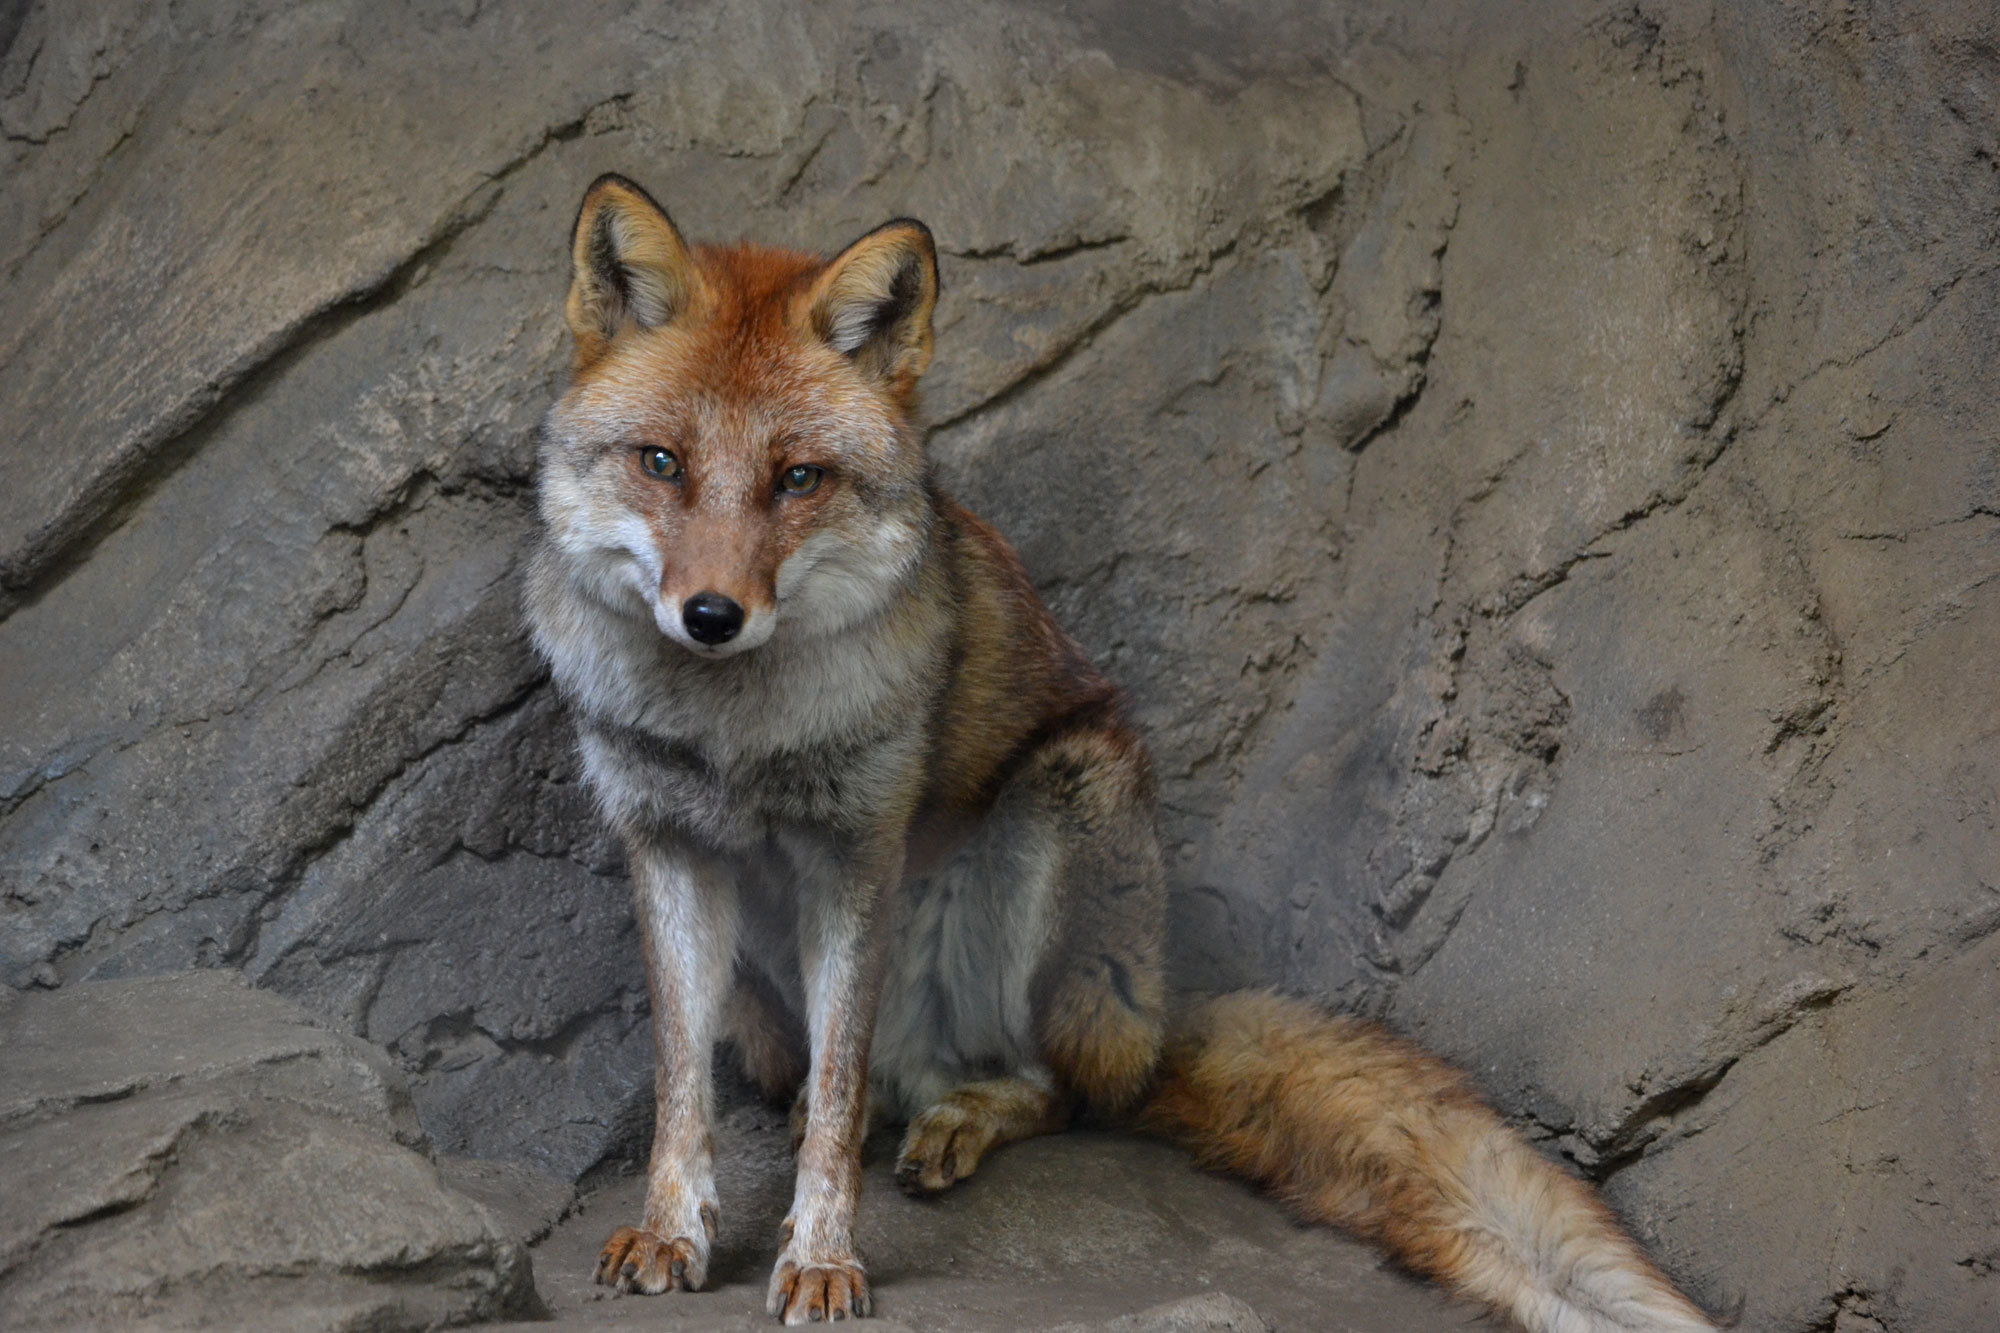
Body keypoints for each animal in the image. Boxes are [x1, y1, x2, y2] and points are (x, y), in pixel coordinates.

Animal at [522, 172, 1719, 1332]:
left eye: (798, 480)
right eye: (662, 463)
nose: (711, 615)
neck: (732, 733)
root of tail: (1155, 1014)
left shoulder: (856, 855)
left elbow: (833, 1117)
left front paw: (822, 1259)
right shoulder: (667, 845)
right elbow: (683, 1091)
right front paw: (673, 1232)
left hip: (1057, 813)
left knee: (1036, 1089)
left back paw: (961, 1117)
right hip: (776, 1000)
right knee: (847, 1084)